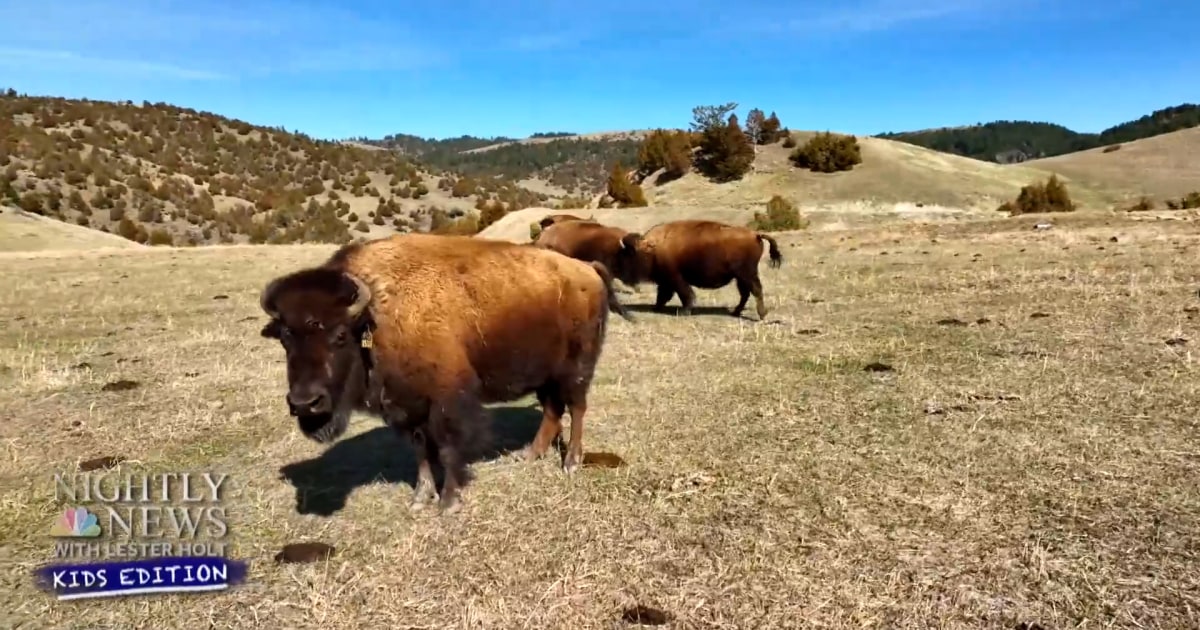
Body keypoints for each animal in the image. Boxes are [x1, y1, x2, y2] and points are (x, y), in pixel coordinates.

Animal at [259, 233, 632, 514]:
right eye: (284, 338)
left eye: (339, 335)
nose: (305, 403)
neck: (376, 313)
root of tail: (586, 269)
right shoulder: (407, 407)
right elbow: (422, 452)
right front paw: (420, 498)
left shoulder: (447, 401)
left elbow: (449, 449)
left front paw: (449, 502)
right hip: (546, 374)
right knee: (552, 410)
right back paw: (529, 455)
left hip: (577, 369)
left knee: (577, 408)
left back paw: (571, 462)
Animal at [614, 219, 783, 319]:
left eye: (629, 255)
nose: (622, 274)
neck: (652, 247)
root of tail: (756, 235)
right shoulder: (666, 281)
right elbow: (663, 295)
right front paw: (656, 307)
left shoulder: (675, 278)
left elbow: (685, 294)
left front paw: (684, 312)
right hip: (740, 277)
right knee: (746, 293)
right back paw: (735, 312)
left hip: (746, 273)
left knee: (755, 290)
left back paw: (761, 315)